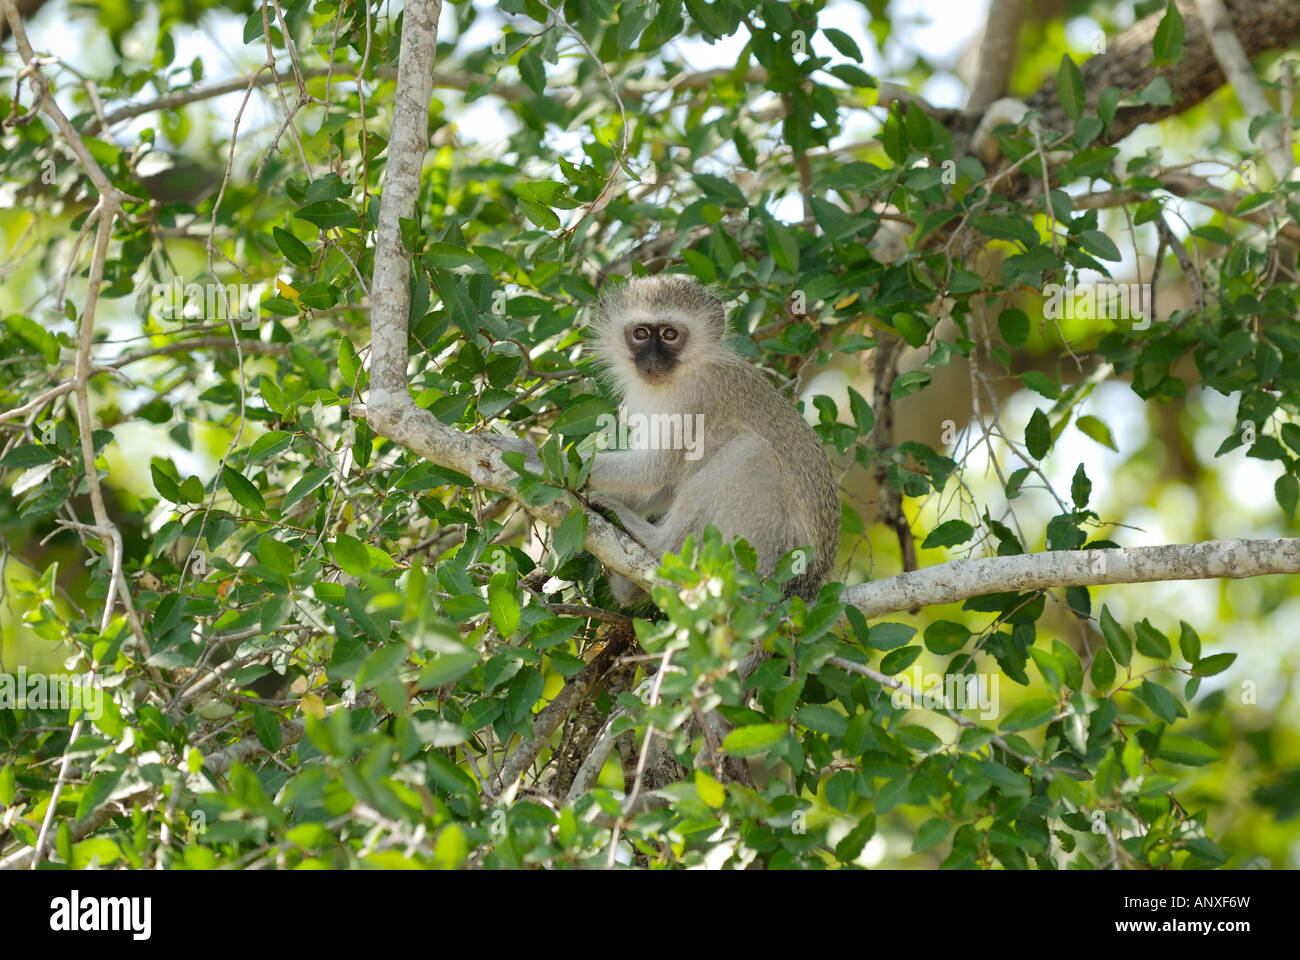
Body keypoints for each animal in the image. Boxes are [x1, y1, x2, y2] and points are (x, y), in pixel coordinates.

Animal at [493, 275, 841, 607]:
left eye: (670, 335)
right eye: (641, 333)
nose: (653, 362)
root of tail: (804, 586)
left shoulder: (694, 396)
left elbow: (652, 471)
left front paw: (529, 456)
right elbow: (660, 484)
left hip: (765, 550)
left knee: (749, 453)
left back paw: (656, 542)